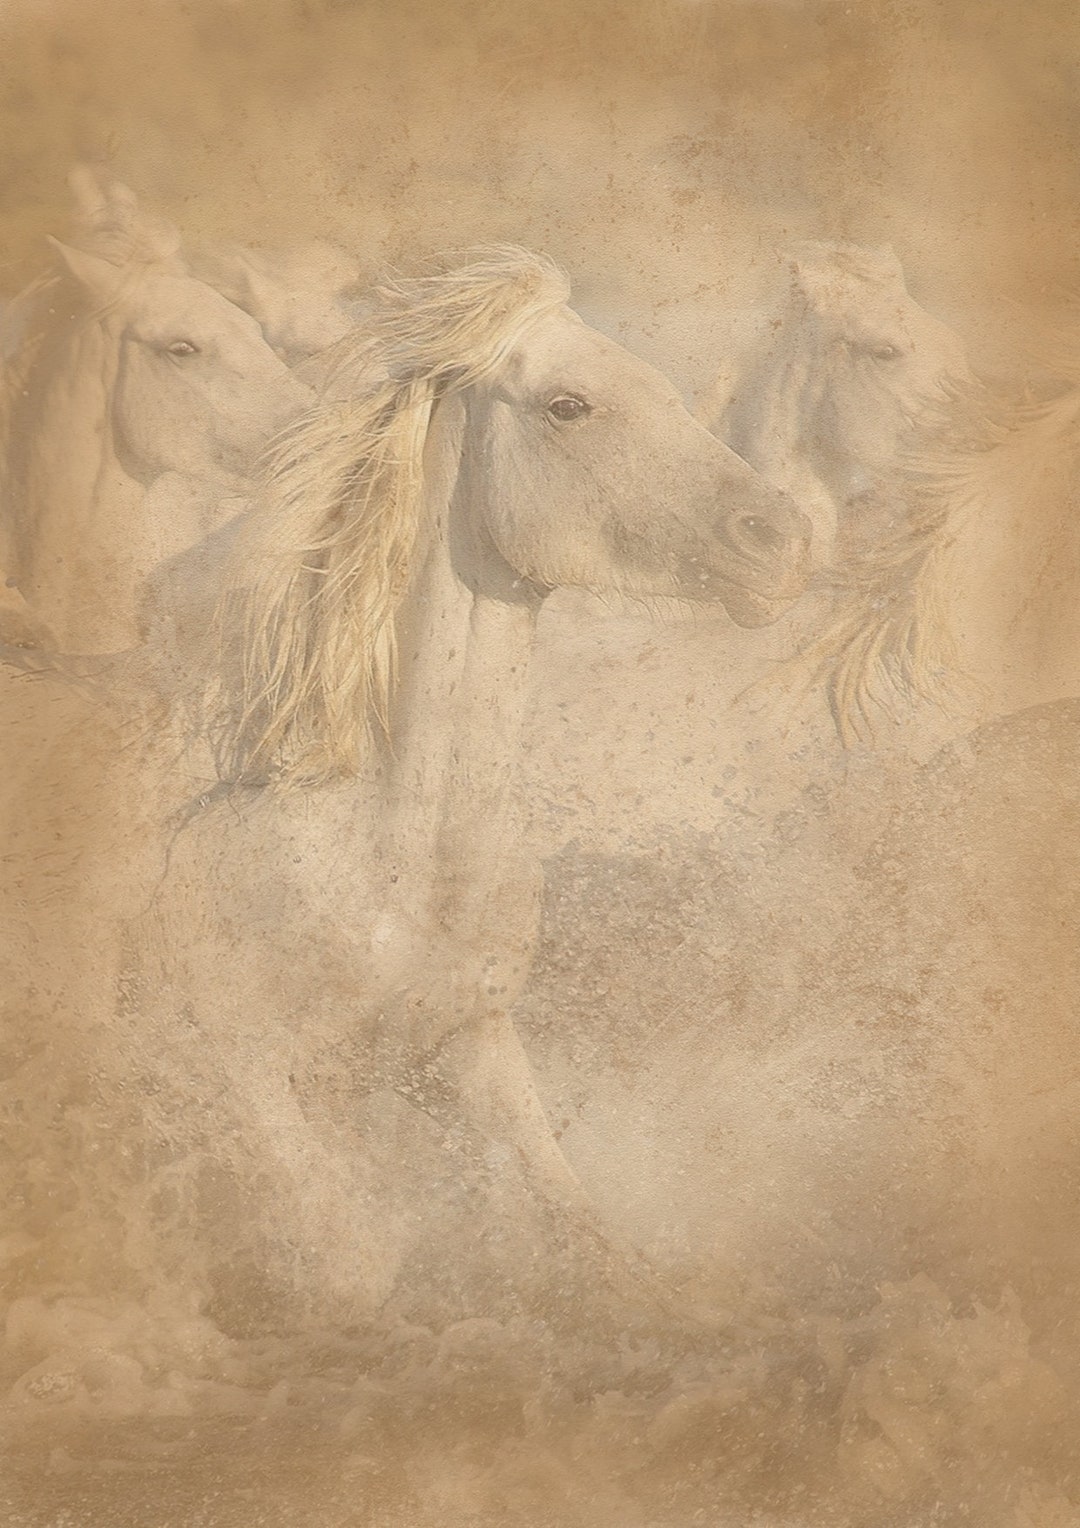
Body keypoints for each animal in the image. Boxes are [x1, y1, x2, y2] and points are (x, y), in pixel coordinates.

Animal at [3, 246, 811, 1344]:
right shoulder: (220, 1066)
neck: (384, 851)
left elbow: (592, 1241)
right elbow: (349, 1260)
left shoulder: (467, 1044)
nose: (782, 537)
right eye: (567, 405)